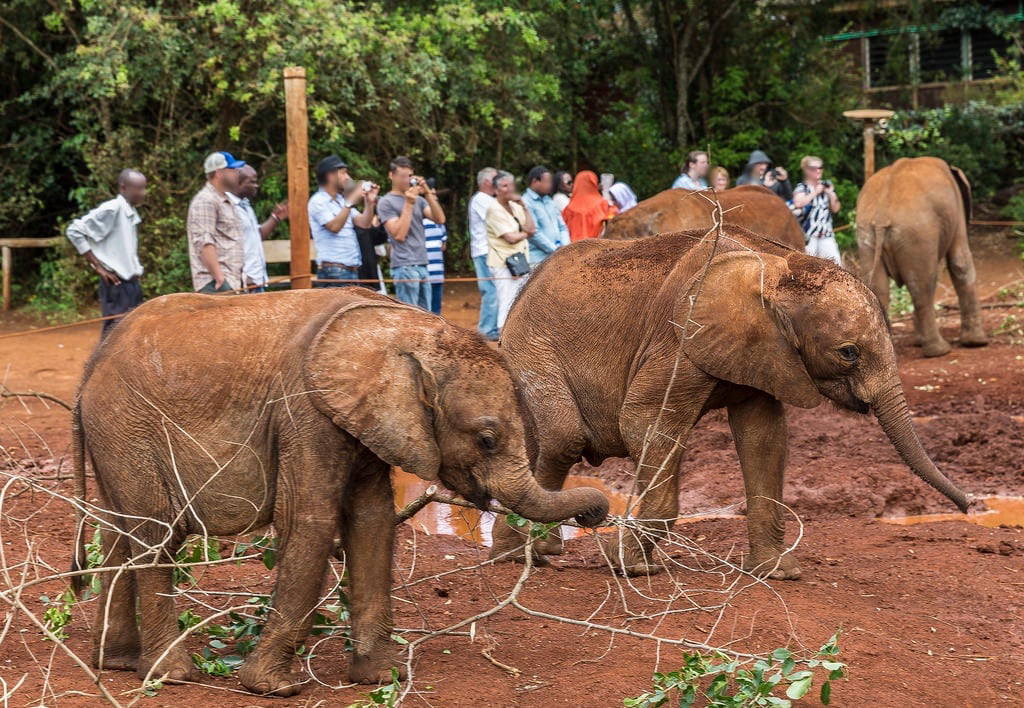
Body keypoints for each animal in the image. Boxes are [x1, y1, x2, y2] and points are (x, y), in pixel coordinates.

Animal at [70, 288, 608, 696]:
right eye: (487, 439)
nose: (594, 514)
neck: (404, 332)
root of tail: (92, 362)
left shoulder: (367, 419)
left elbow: (371, 521)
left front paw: (383, 678)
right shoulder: (306, 413)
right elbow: (309, 520)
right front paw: (273, 688)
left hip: (114, 431)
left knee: (118, 530)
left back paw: (117, 662)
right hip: (128, 423)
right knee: (155, 531)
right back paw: (171, 675)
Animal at [489, 225, 970, 577]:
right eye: (848, 352)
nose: (968, 505)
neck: (776, 268)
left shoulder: (764, 351)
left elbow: (764, 437)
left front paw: (776, 573)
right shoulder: (680, 336)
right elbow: (645, 422)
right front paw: (630, 567)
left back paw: (528, 552)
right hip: (531, 344)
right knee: (562, 438)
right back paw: (520, 558)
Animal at [856, 156, 988, 357]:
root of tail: (882, 215)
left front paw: (918, 342)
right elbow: (960, 262)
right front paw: (976, 343)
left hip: (867, 235)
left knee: (880, 289)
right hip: (917, 234)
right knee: (922, 287)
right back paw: (939, 351)